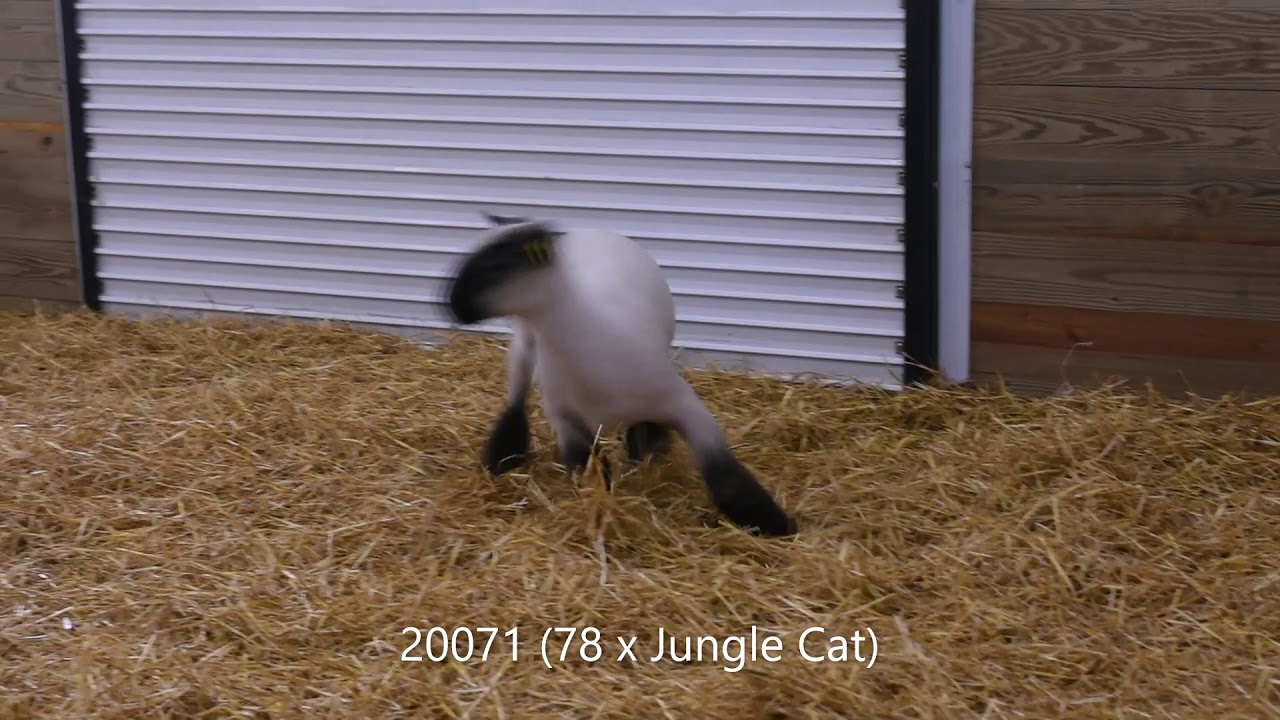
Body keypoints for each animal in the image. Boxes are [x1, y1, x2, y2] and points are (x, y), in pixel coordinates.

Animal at [443, 212, 796, 537]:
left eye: (492, 266)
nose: (451, 306)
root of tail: (586, 231)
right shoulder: (567, 420)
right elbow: (591, 471)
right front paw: (600, 510)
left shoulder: (685, 407)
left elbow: (726, 476)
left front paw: (779, 527)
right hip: (526, 341)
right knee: (516, 401)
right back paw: (502, 460)